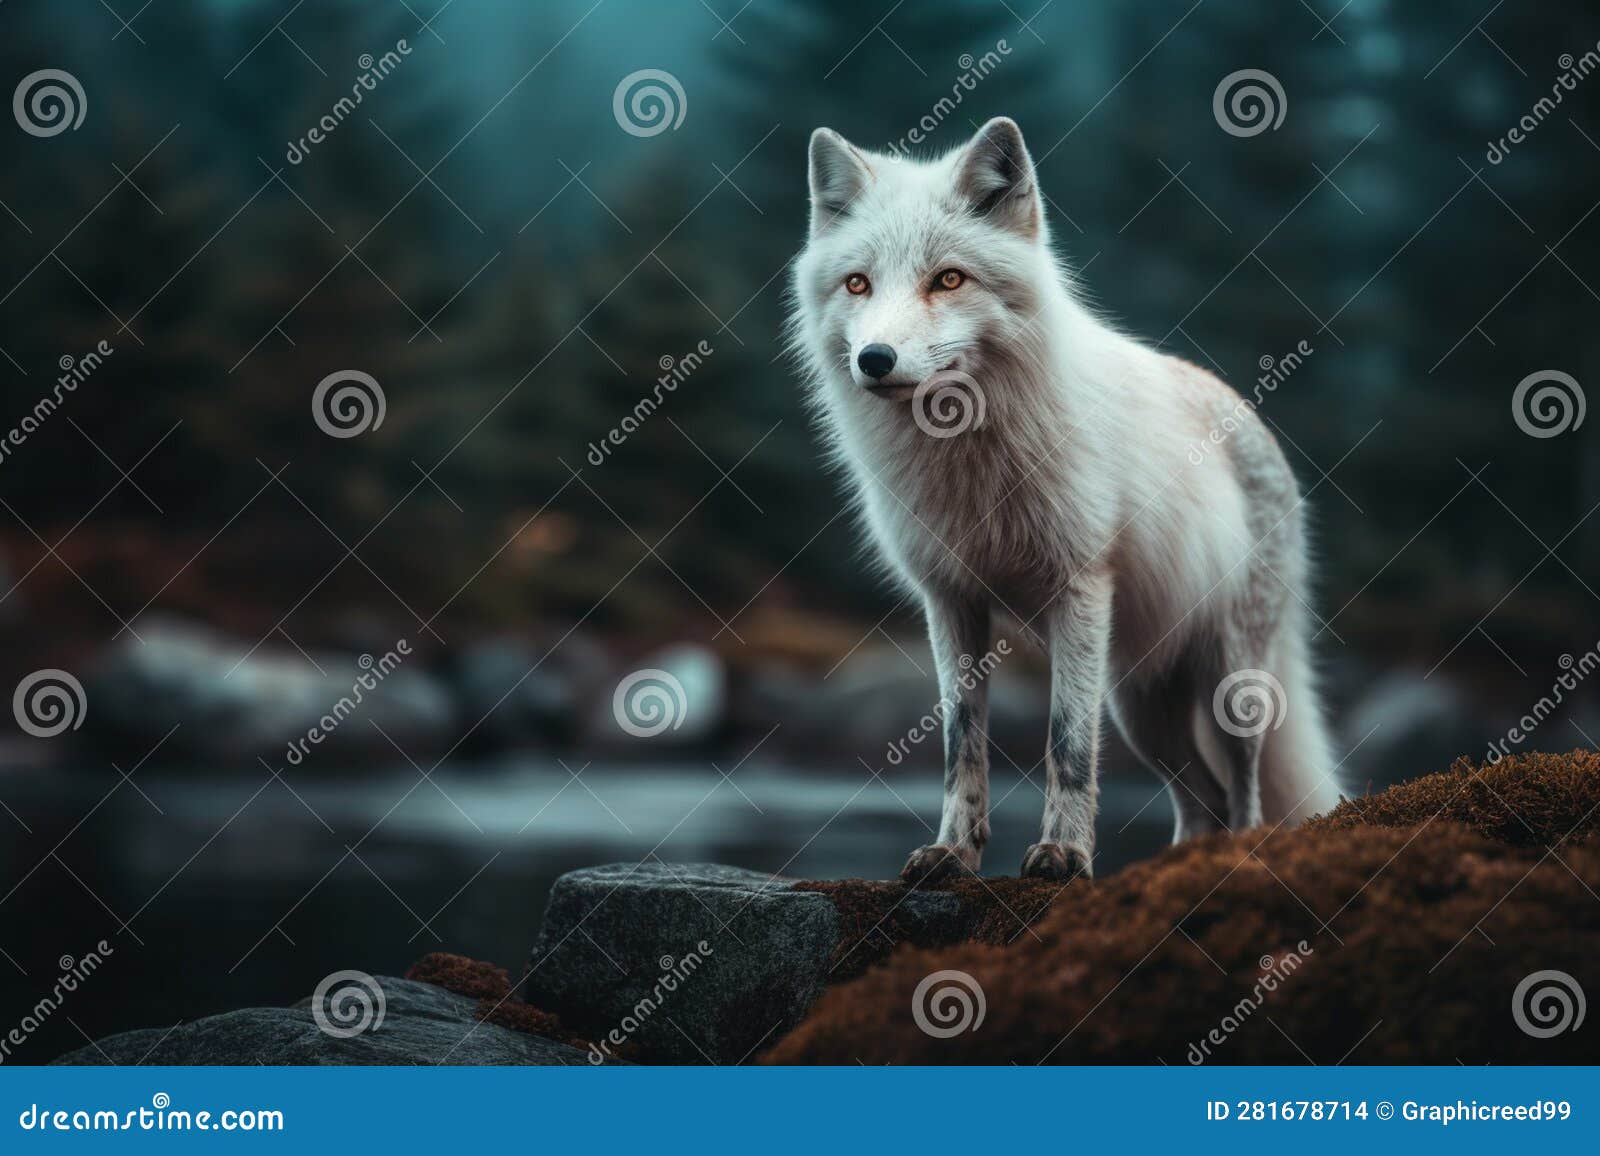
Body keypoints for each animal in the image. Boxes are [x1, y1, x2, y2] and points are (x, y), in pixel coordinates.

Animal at [789, 117, 1341, 883]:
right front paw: (954, 853)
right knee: (1202, 800)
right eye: (858, 283)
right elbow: (962, 744)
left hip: (1228, 684)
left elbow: (1067, 745)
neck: (970, 463)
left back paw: (1238, 862)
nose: (874, 359)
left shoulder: (1080, 588)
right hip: (1141, 707)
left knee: (1245, 791)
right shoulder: (950, 601)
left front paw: (1064, 855)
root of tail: (1249, 416)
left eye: (948, 279)